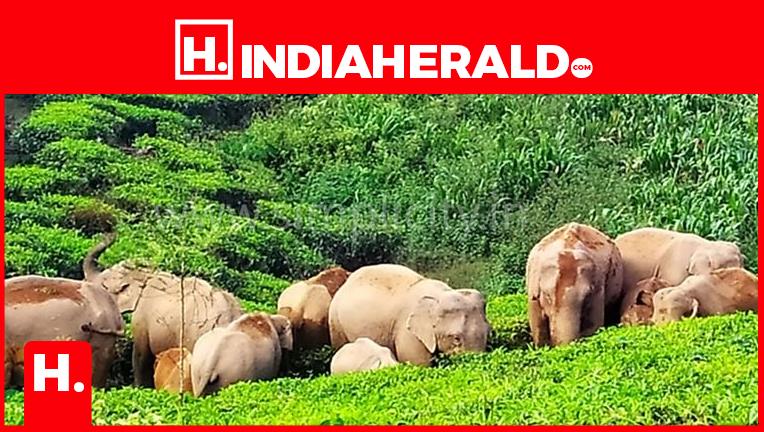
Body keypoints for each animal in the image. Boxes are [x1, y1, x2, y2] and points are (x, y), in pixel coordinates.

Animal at [328, 264, 490, 366]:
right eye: (456, 338)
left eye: (489, 333)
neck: (440, 296)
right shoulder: (407, 332)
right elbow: (418, 363)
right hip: (336, 323)